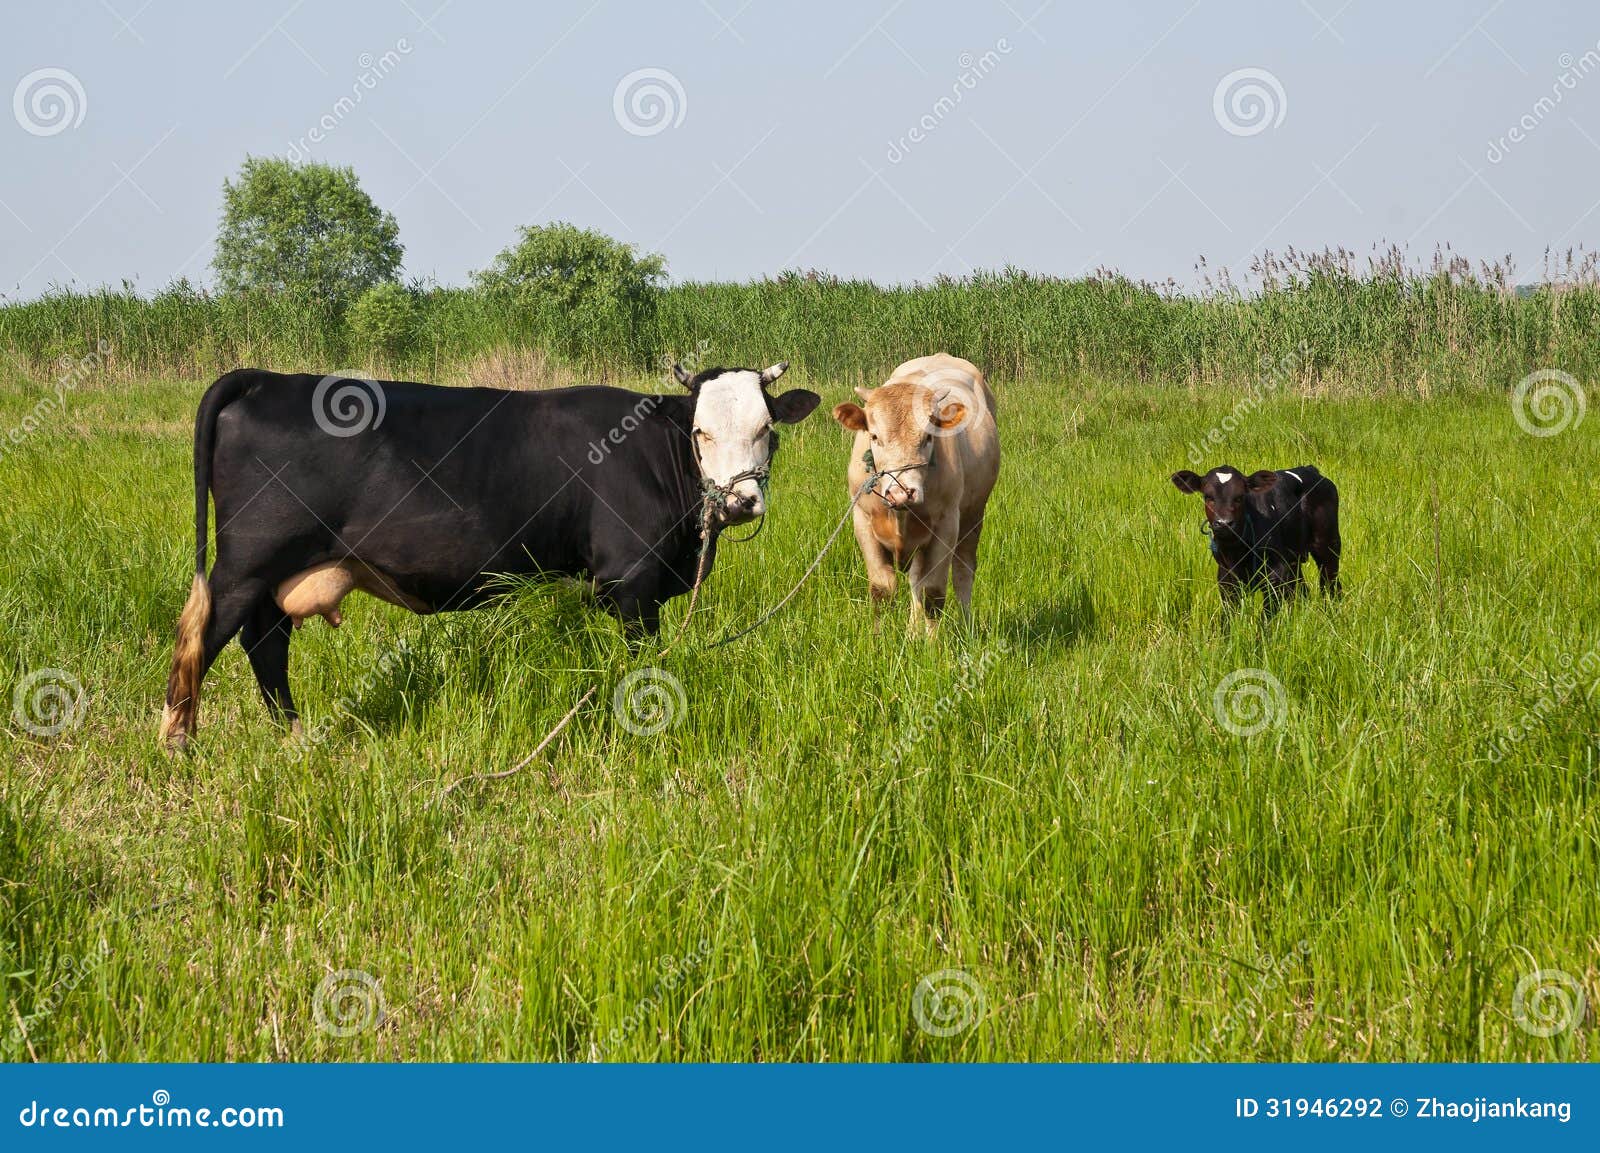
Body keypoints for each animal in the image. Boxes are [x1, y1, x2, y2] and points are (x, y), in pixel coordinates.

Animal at [158, 363, 820, 750]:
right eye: (701, 432)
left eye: (767, 428)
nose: (739, 501)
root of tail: (264, 377)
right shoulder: (633, 581)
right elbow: (643, 662)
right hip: (245, 566)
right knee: (205, 640)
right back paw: (178, 743)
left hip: (276, 574)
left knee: (264, 644)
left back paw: (293, 738)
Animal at [830, 353, 1000, 633]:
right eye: (874, 436)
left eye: (929, 437)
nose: (902, 493)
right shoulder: (862, 520)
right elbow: (882, 589)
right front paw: (878, 639)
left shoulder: (946, 524)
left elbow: (933, 593)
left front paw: (932, 643)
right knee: (915, 579)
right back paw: (911, 632)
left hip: (973, 516)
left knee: (962, 572)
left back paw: (966, 629)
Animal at [1169, 464, 1341, 613]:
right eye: (1208, 497)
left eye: (1240, 497)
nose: (1224, 523)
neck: (1237, 551)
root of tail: (1311, 470)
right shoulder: (1226, 576)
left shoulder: (1276, 572)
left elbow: (1267, 614)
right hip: (1294, 559)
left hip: (1328, 545)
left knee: (1330, 584)